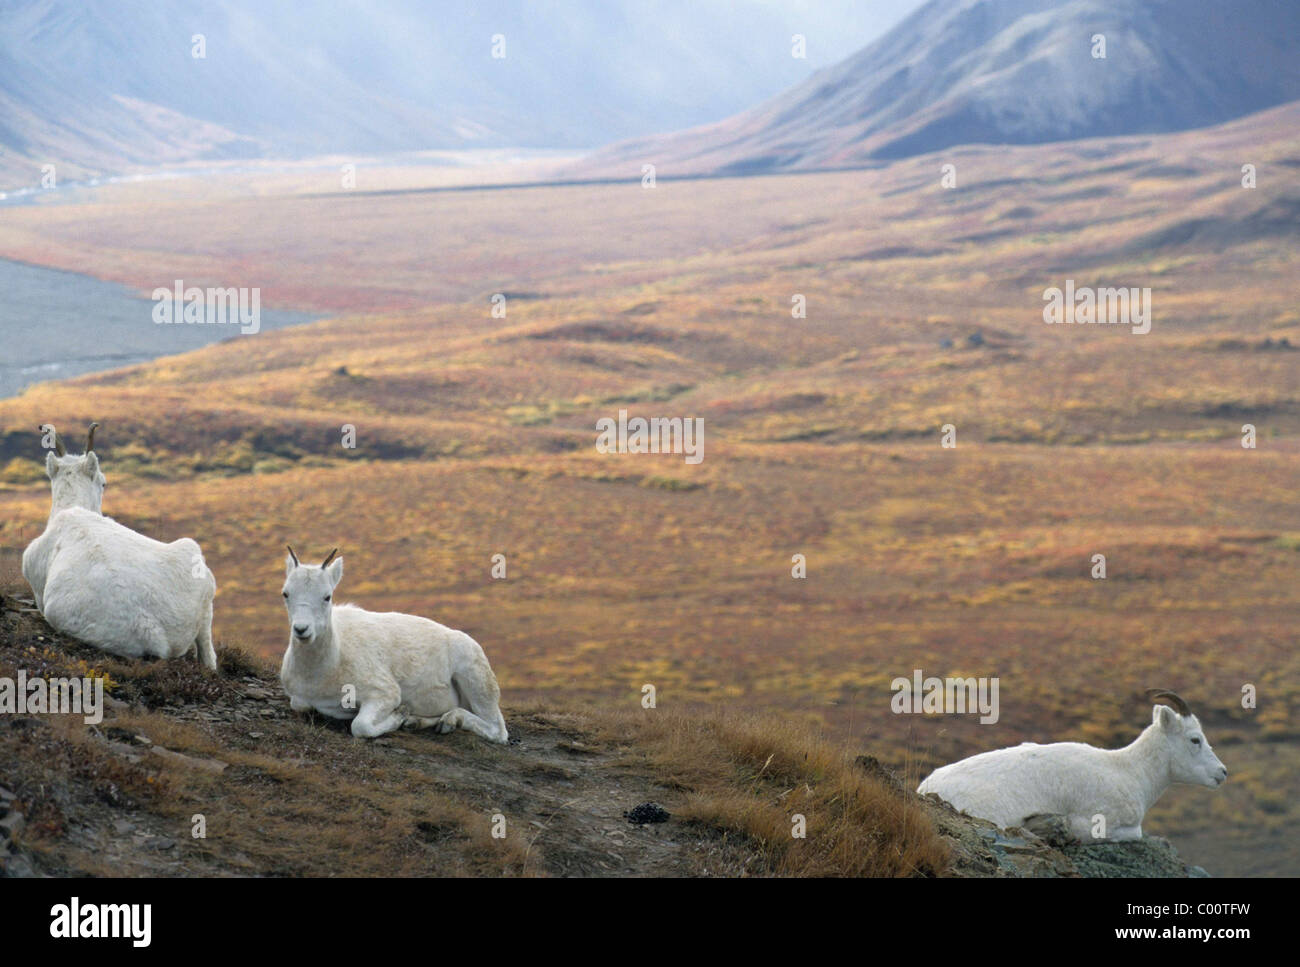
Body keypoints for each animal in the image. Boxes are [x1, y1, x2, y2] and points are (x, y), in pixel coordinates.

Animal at [279, 546, 509, 742]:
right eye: (286, 593)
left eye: (327, 596)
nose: (301, 629)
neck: (321, 672)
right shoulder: (299, 699)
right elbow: (300, 705)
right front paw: (405, 717)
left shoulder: (385, 693)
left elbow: (360, 726)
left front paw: (400, 715)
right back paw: (416, 722)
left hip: (475, 680)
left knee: (497, 730)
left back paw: (449, 720)